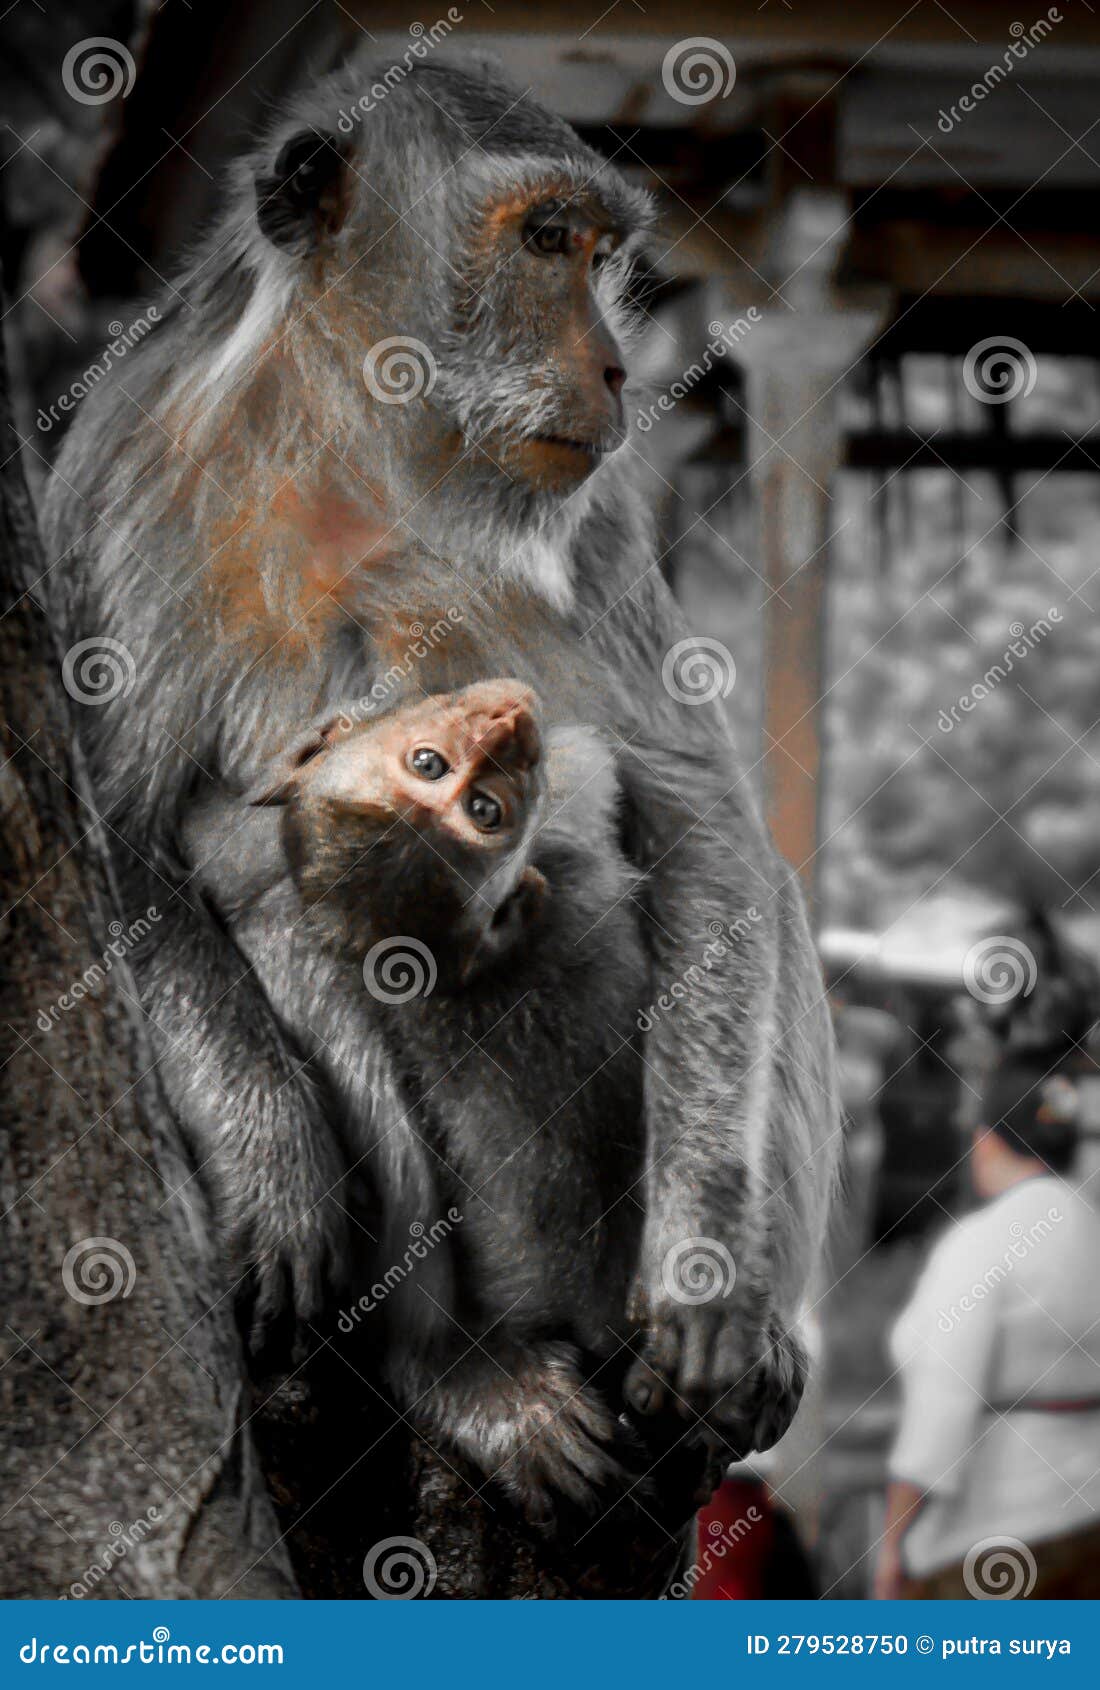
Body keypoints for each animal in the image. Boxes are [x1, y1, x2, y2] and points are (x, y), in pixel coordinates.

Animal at [42, 48, 839, 1469]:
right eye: (542, 240)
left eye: (596, 252)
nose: (613, 367)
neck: (362, 442)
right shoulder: (128, 470)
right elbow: (125, 843)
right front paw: (273, 1165)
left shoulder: (595, 507)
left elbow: (693, 809)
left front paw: (705, 1267)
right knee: (285, 902)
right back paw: (453, 1368)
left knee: (751, 895)